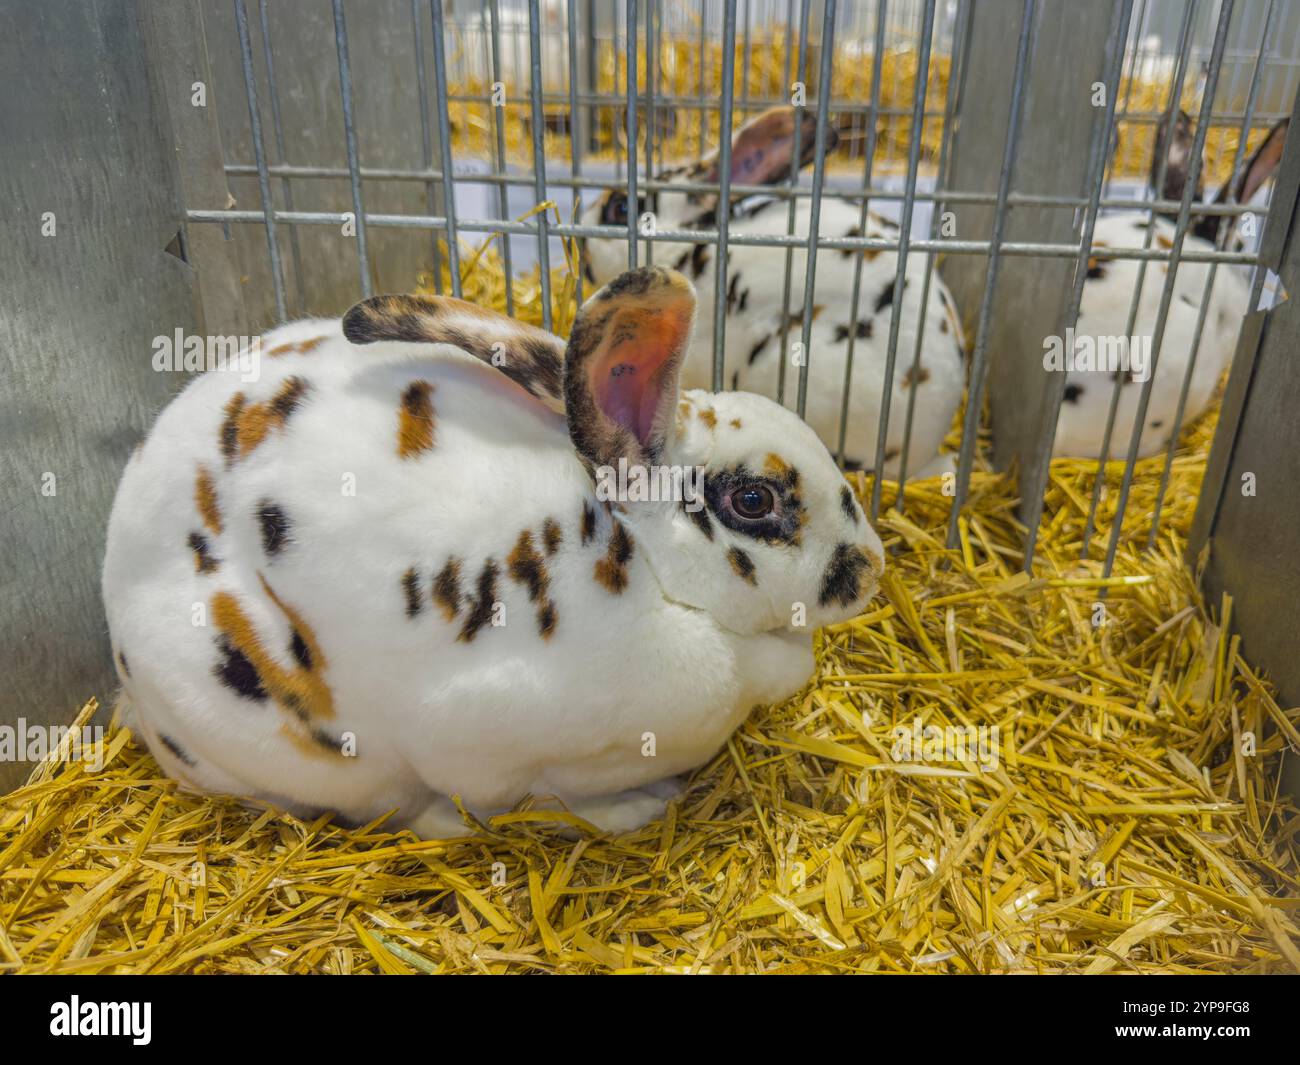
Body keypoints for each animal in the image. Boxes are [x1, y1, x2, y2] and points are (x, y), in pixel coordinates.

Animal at [101, 266, 885, 839]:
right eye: (753, 500)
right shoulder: (480, 742)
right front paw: (635, 807)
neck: (651, 572)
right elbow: (526, 801)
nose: (872, 567)